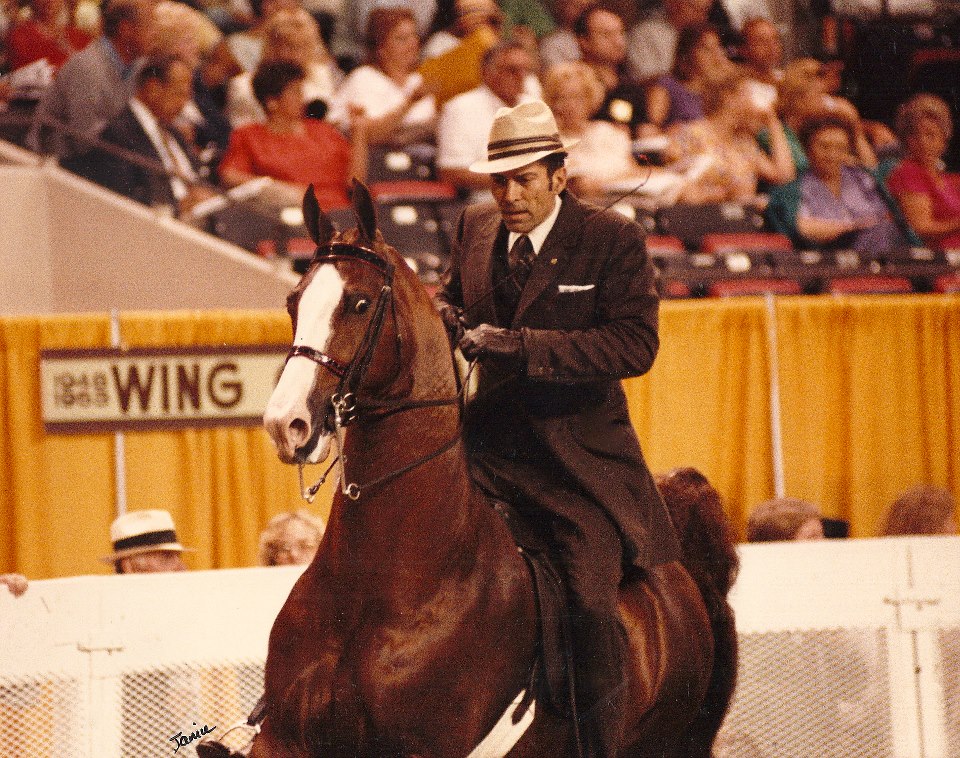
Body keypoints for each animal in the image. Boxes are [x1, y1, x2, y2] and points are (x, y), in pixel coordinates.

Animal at [253, 182, 738, 757]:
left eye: (360, 303)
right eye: (293, 301)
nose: (287, 424)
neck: (377, 585)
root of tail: (682, 576)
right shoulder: (283, 741)